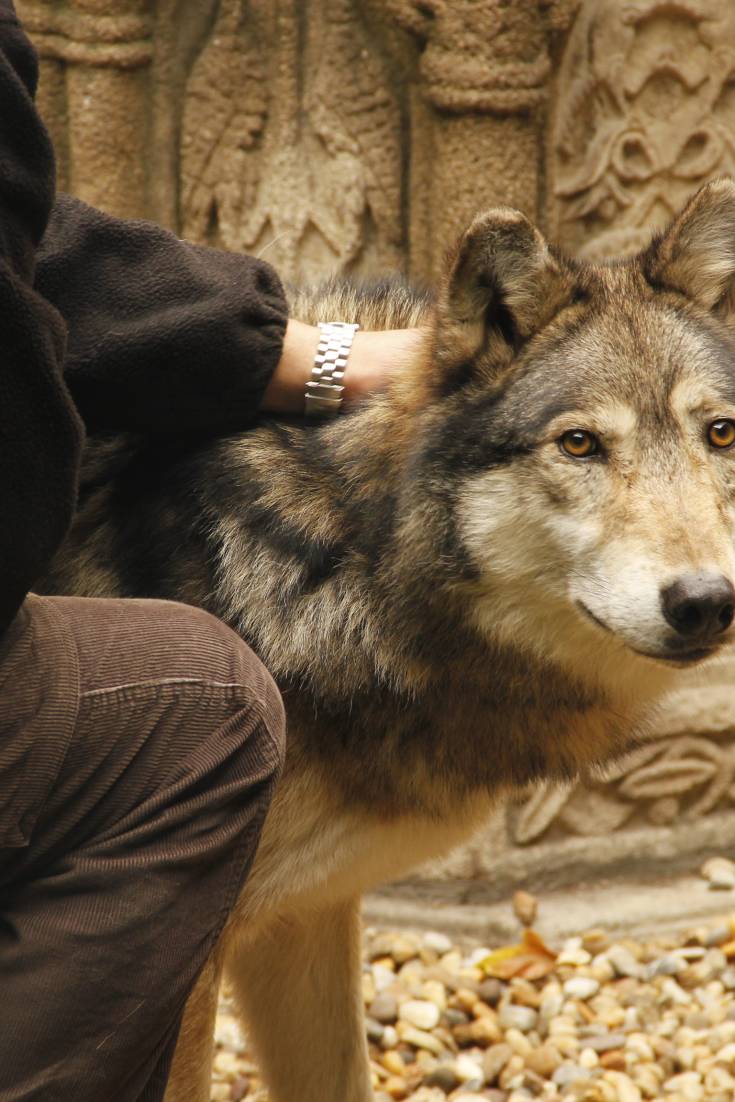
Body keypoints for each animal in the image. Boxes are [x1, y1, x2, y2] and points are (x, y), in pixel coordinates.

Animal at [43, 178, 735, 1102]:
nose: (705, 602)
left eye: (719, 434)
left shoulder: (303, 914)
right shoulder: (185, 968)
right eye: (579, 444)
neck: (341, 552)